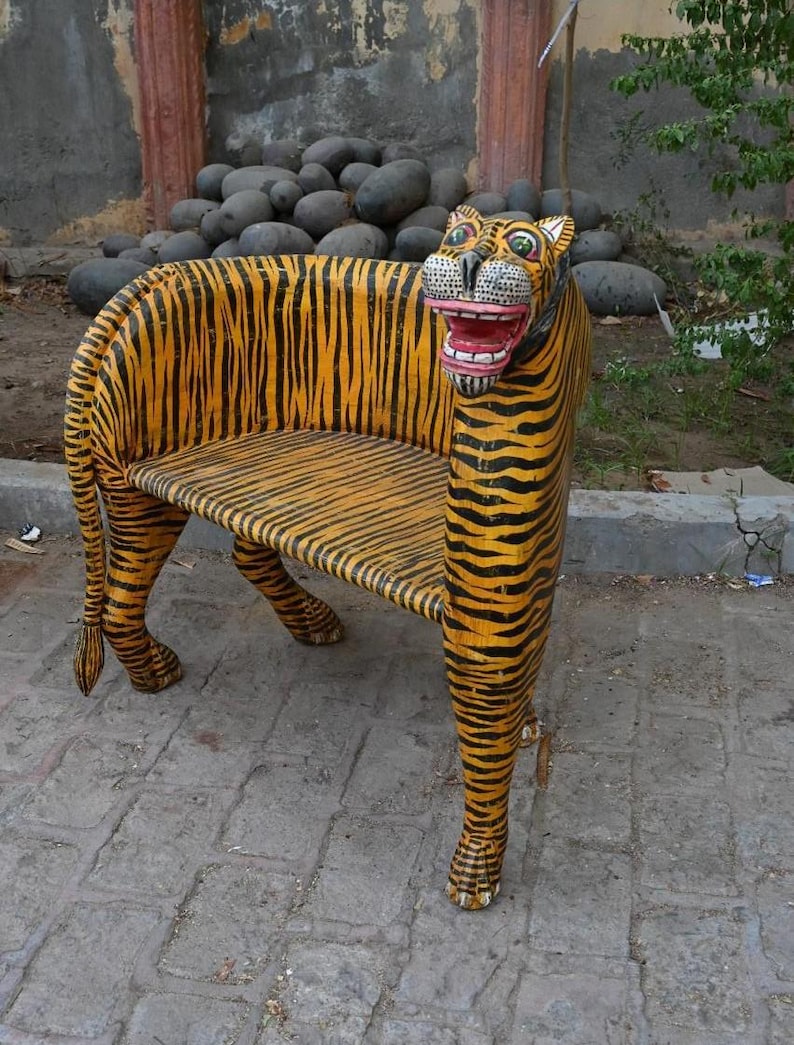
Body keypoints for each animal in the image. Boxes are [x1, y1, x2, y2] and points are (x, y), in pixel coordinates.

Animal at [65, 206, 590, 910]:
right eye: (457, 237)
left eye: (524, 244)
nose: (471, 261)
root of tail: (156, 279)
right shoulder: (485, 618)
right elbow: (488, 729)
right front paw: (479, 868)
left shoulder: (511, 588)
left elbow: (513, 687)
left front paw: (520, 747)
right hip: (130, 484)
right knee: (126, 592)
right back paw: (157, 671)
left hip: (139, 489)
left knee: (216, 563)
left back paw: (295, 627)